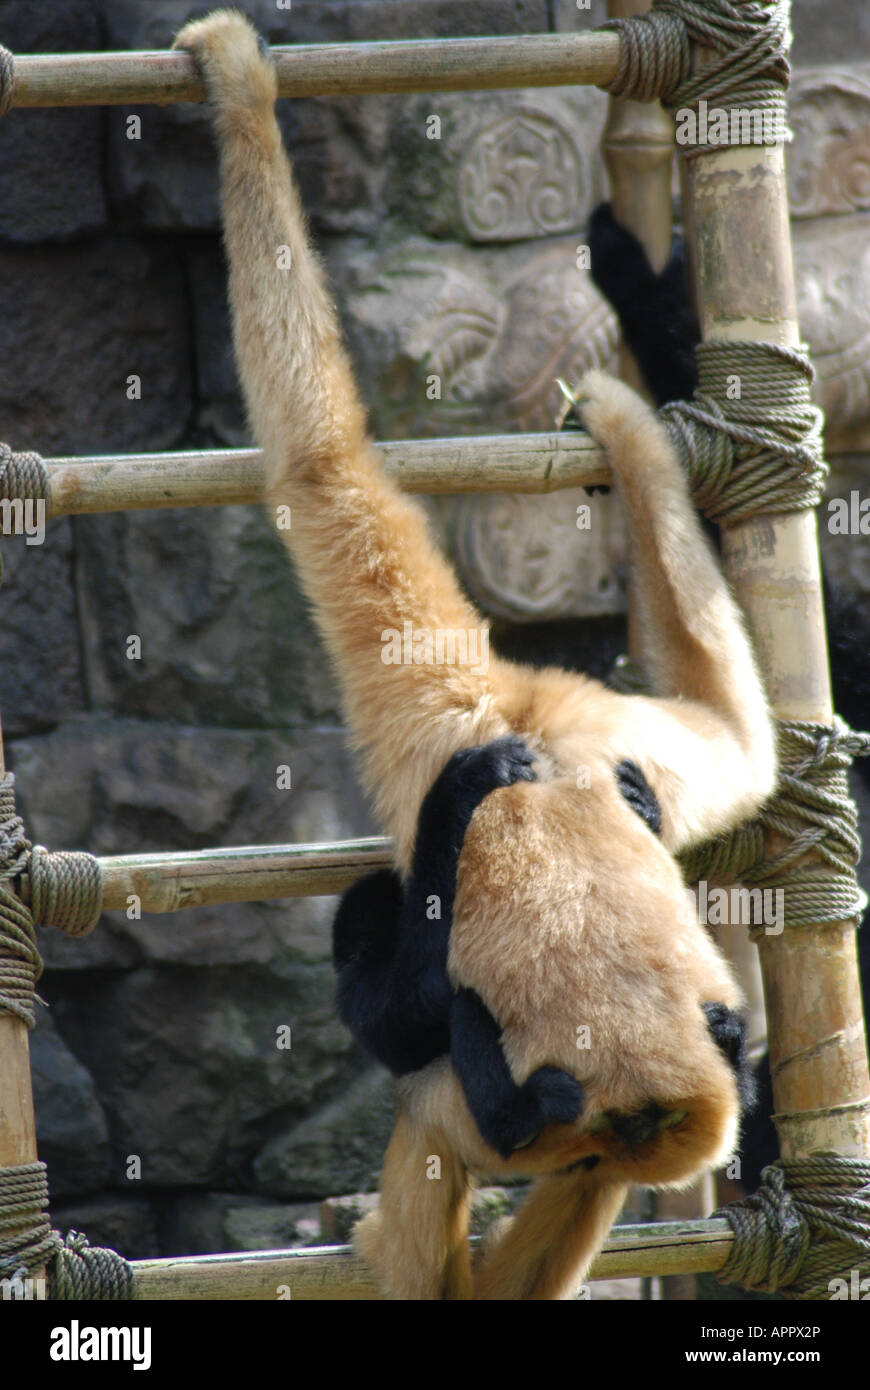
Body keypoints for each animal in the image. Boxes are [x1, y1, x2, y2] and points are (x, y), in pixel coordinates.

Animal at [172, 11, 777, 1300]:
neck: (514, 707)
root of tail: (662, 1102)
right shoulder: (630, 738)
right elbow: (744, 747)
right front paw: (628, 418)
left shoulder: (417, 692)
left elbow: (319, 462)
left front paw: (237, 81)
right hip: (632, 1121)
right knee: (595, 1163)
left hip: (524, 1112)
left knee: (432, 1101)